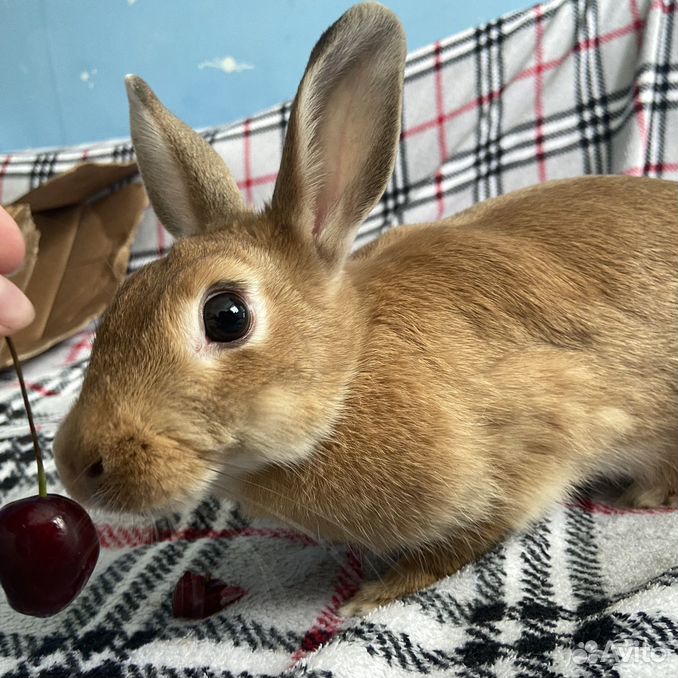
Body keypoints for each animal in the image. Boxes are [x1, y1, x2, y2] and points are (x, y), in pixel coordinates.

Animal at [53, 2, 677, 616]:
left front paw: (372, 595)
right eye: (120, 300)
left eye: (226, 316)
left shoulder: (529, 447)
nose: (75, 465)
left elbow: (468, 538)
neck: (350, 373)